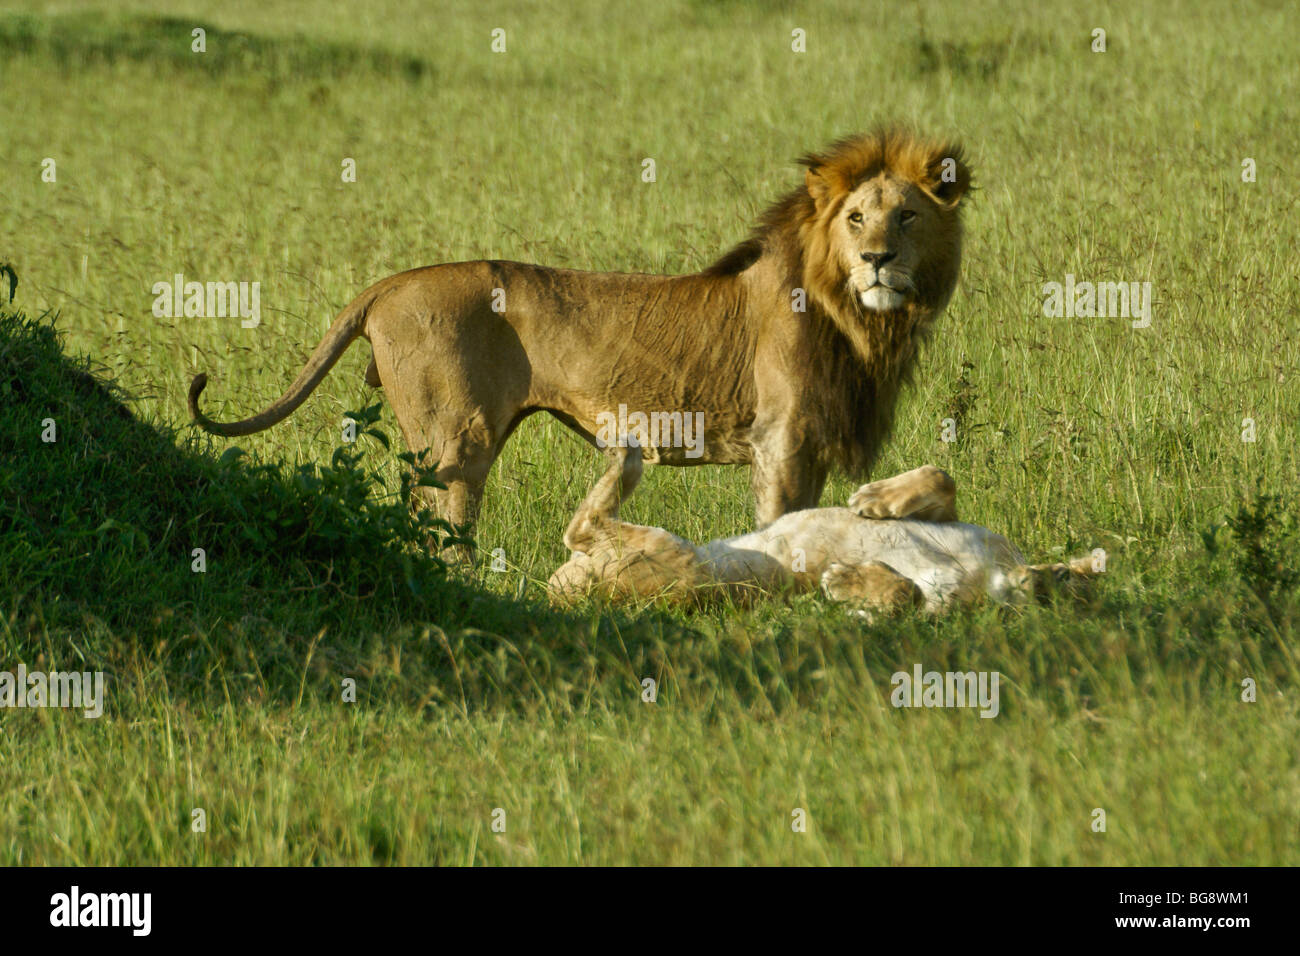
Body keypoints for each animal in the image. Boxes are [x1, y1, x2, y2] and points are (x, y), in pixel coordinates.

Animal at [189, 128, 972, 553]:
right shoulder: (781, 438)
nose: (877, 258)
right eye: (856, 218)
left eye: (906, 216)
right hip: (457, 441)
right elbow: (779, 524)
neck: (864, 320)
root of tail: (387, 285)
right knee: (444, 527)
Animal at [548, 443, 1099, 613]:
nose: (1038, 582)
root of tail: (559, 596)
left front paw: (842, 580)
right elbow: (943, 478)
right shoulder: (953, 522)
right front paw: (872, 499)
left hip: (677, 562)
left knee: (582, 526)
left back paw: (628, 455)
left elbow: (903, 596)